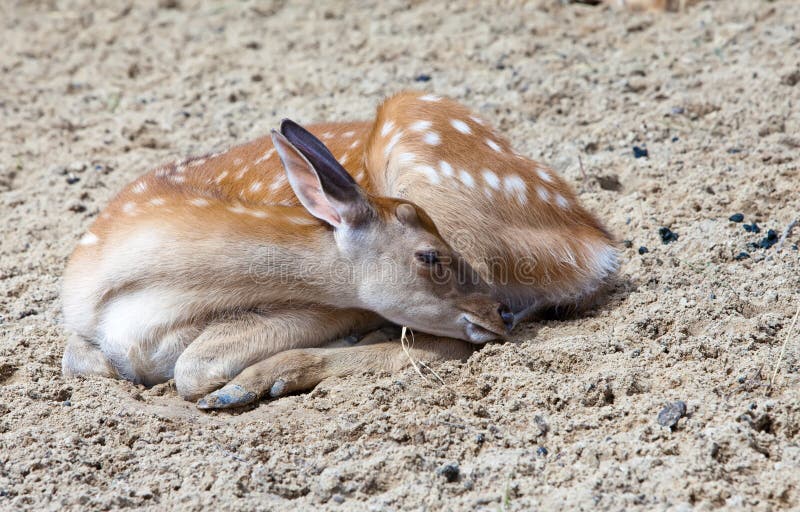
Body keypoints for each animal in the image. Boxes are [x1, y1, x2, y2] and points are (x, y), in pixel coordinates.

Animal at [61, 92, 618, 409]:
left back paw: (261, 380)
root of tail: (597, 244)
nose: (496, 312)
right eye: (429, 256)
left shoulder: (332, 306)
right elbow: (82, 362)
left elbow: (192, 365)